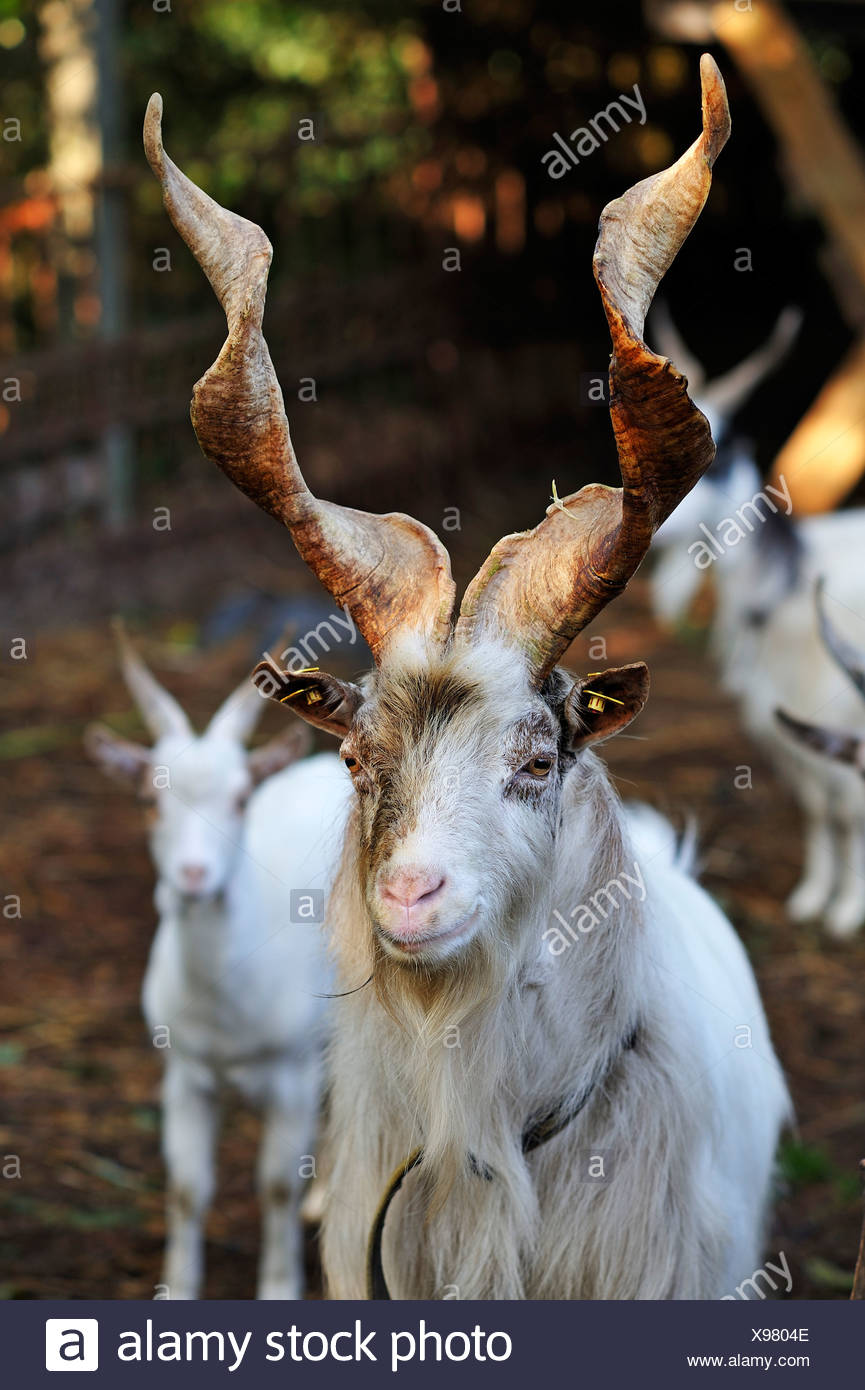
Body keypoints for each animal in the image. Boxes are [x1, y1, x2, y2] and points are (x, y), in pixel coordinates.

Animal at [85, 626, 349, 1298]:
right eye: (148, 799)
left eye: (241, 797)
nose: (193, 876)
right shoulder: (184, 1073)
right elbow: (187, 1188)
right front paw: (177, 1287)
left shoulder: (289, 1073)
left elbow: (276, 1186)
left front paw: (280, 1287)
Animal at [649, 308, 865, 937]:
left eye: (716, 459)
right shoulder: (785, 717)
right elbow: (817, 810)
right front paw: (812, 897)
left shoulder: (840, 707)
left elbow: (848, 814)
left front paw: (848, 910)